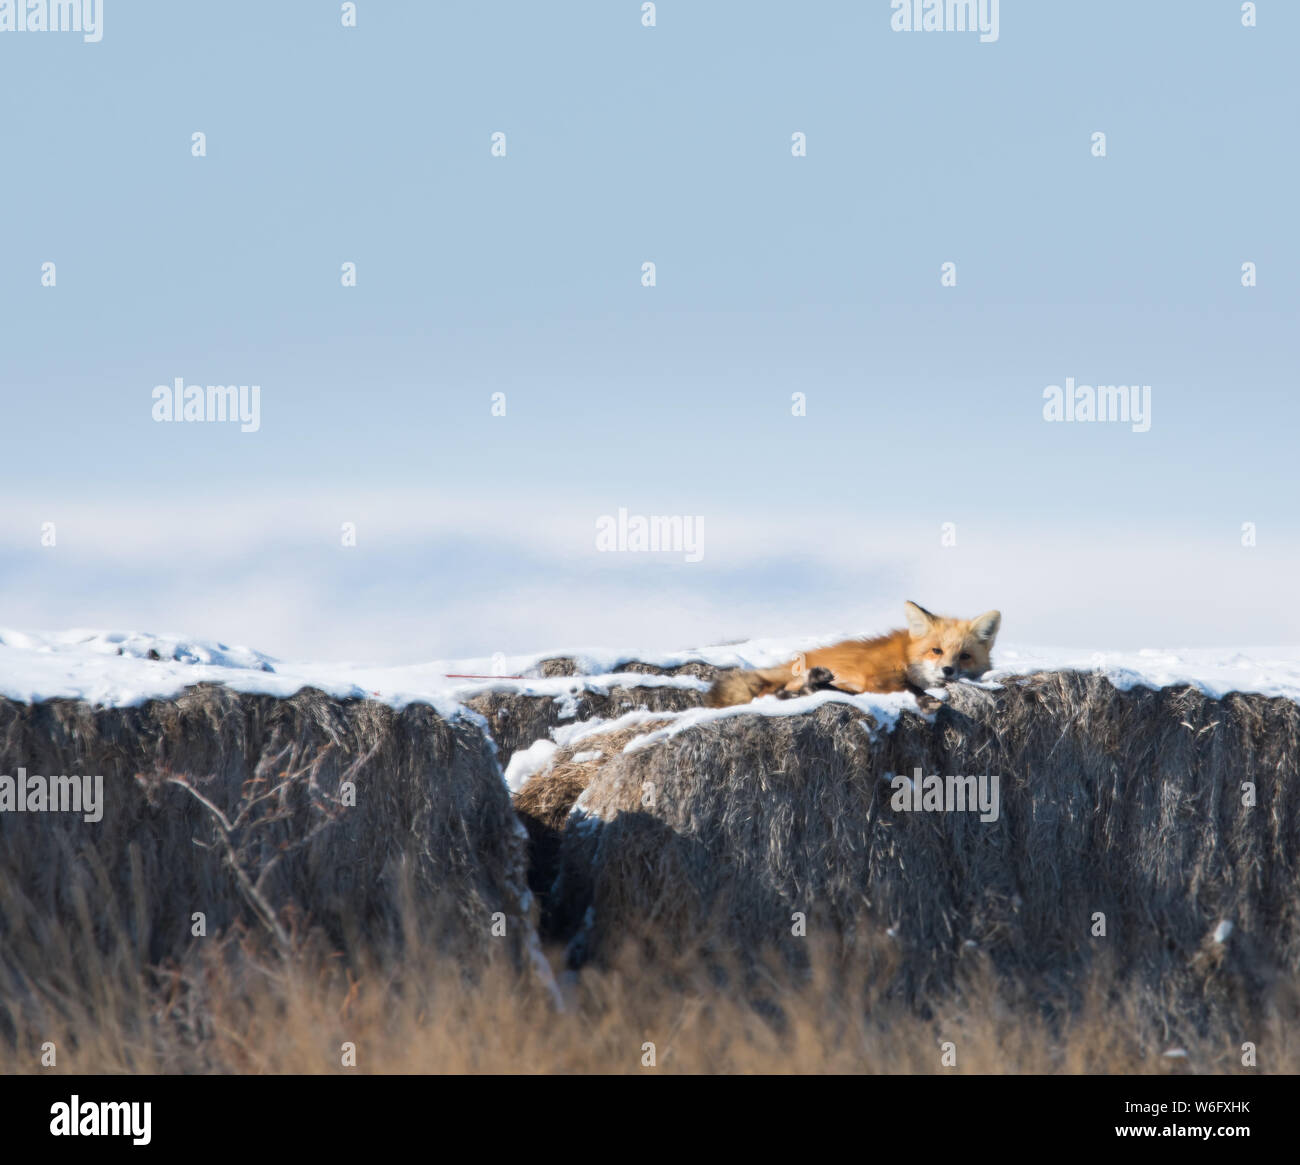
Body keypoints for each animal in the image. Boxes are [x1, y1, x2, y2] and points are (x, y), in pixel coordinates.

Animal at [705, 601, 1001, 708]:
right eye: (936, 651)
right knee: (777, 691)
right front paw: (926, 700)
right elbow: (909, 688)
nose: (948, 670)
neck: (905, 657)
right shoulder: (878, 675)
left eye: (964, 656)